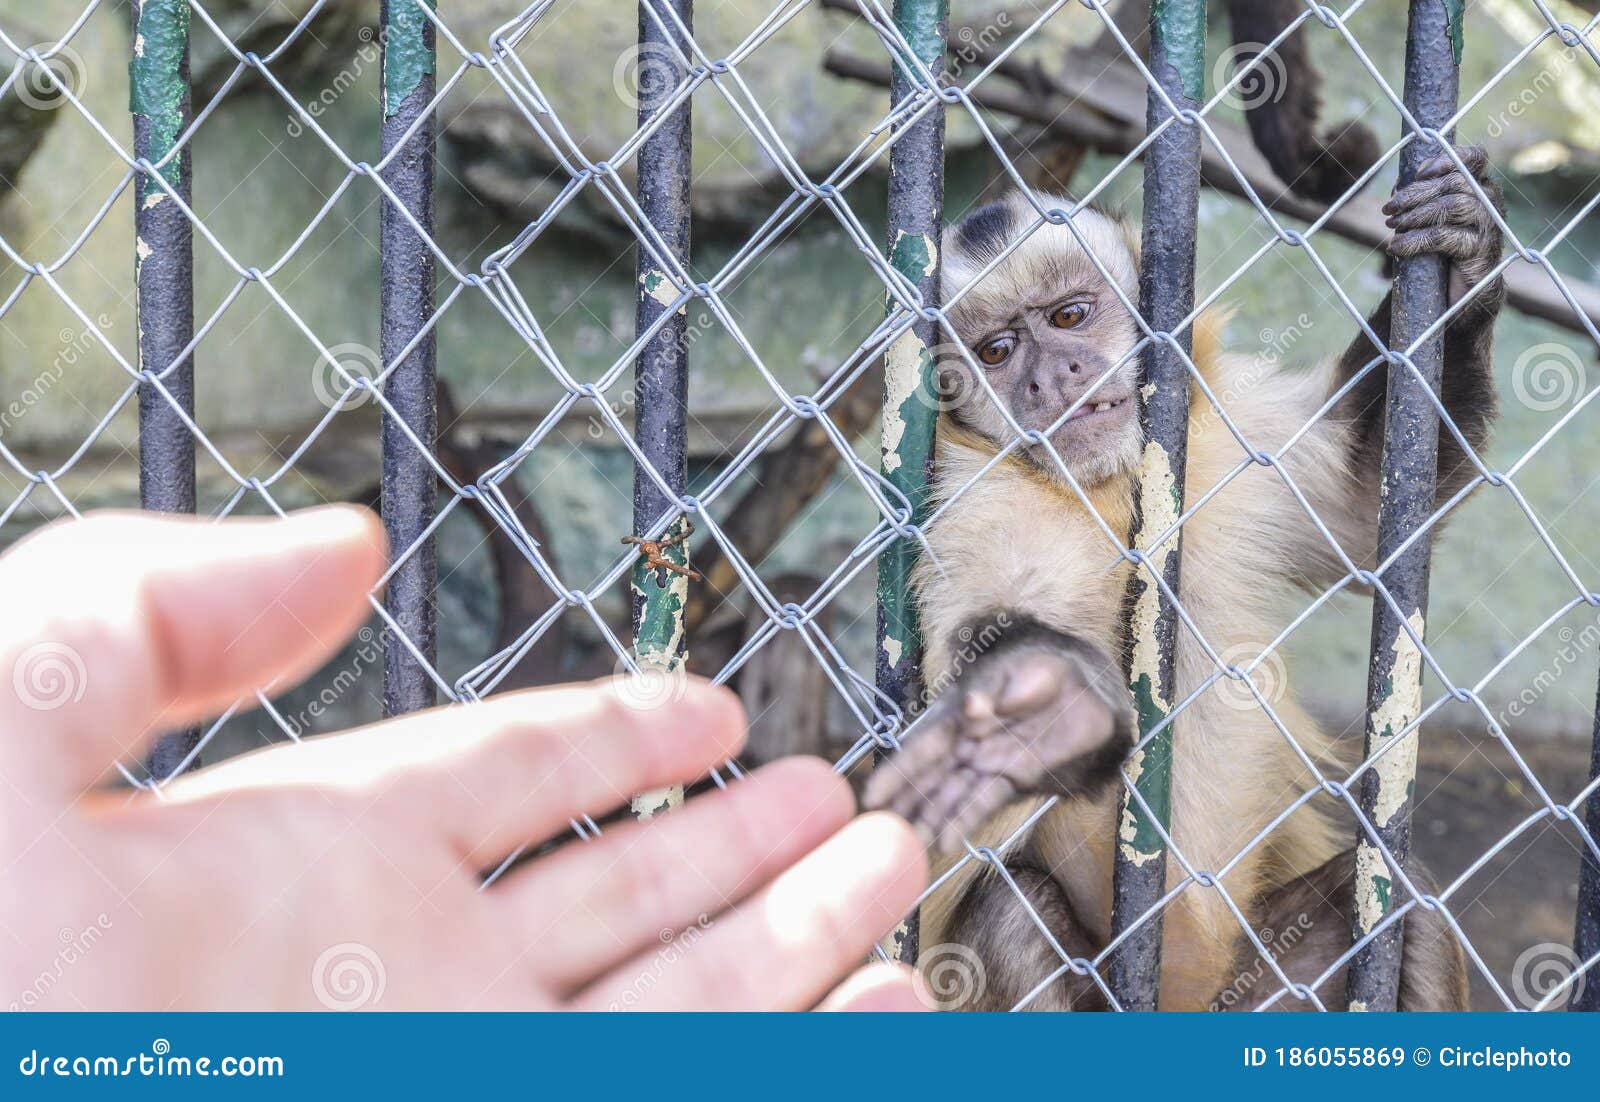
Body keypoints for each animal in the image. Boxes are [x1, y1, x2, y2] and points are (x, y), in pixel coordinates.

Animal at [864, 145, 1504, 1011]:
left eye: (1069, 318)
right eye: (996, 351)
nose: (1051, 378)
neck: (1114, 489)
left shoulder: (1231, 435)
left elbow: (1361, 506)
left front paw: (1466, 264)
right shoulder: (977, 500)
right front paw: (1047, 706)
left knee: (1405, 902)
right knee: (1012, 910)